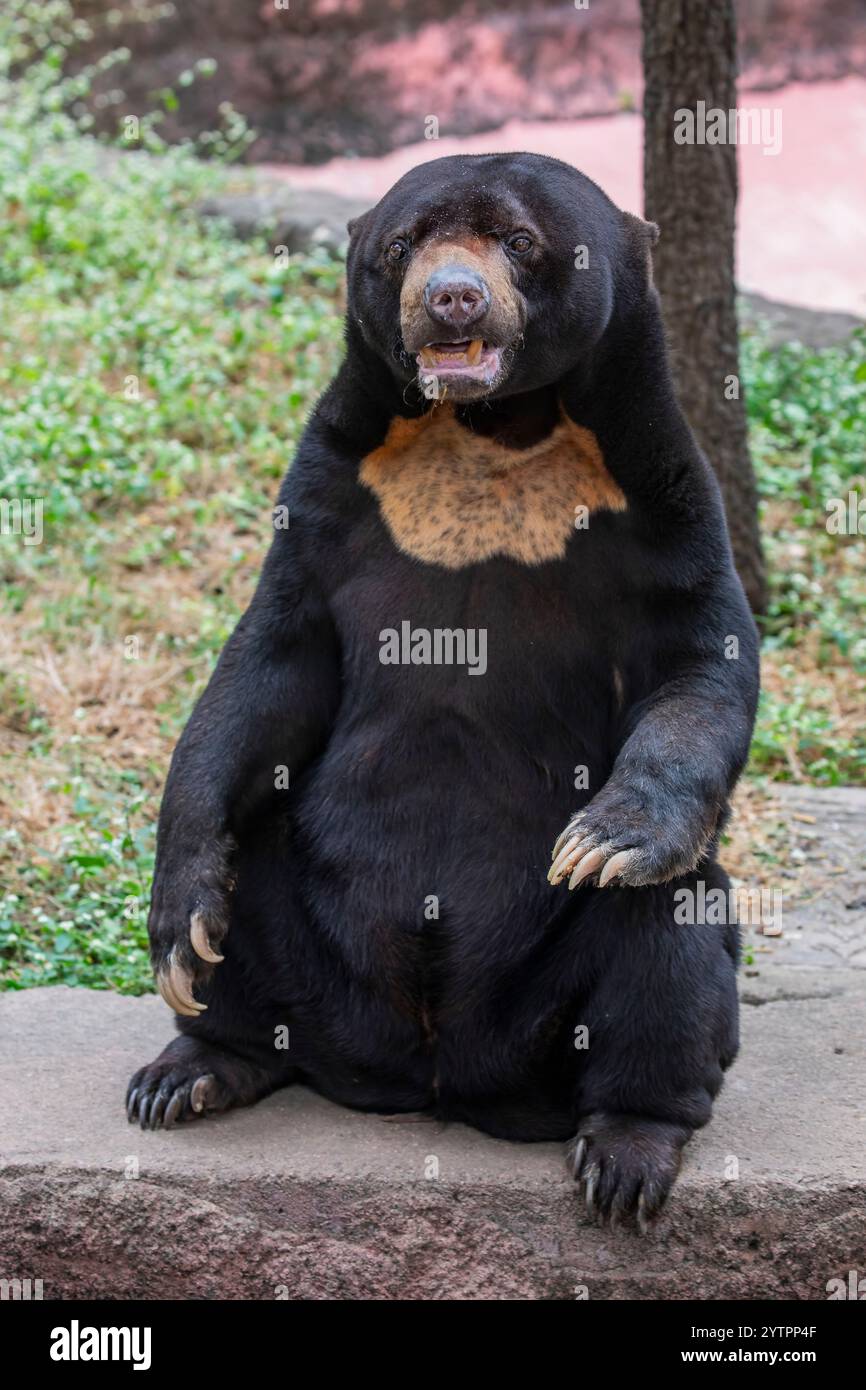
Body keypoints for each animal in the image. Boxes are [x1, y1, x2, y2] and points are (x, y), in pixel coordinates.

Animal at [126, 152, 759, 1231]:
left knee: (669, 930)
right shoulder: (338, 490)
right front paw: (180, 918)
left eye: (517, 241)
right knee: (256, 862)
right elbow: (270, 664)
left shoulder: (658, 491)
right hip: (319, 932)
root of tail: (428, 1074)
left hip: (551, 1000)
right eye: (402, 245)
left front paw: (609, 834)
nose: (450, 297)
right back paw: (196, 1065)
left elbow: (700, 656)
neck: (489, 428)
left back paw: (625, 1150)